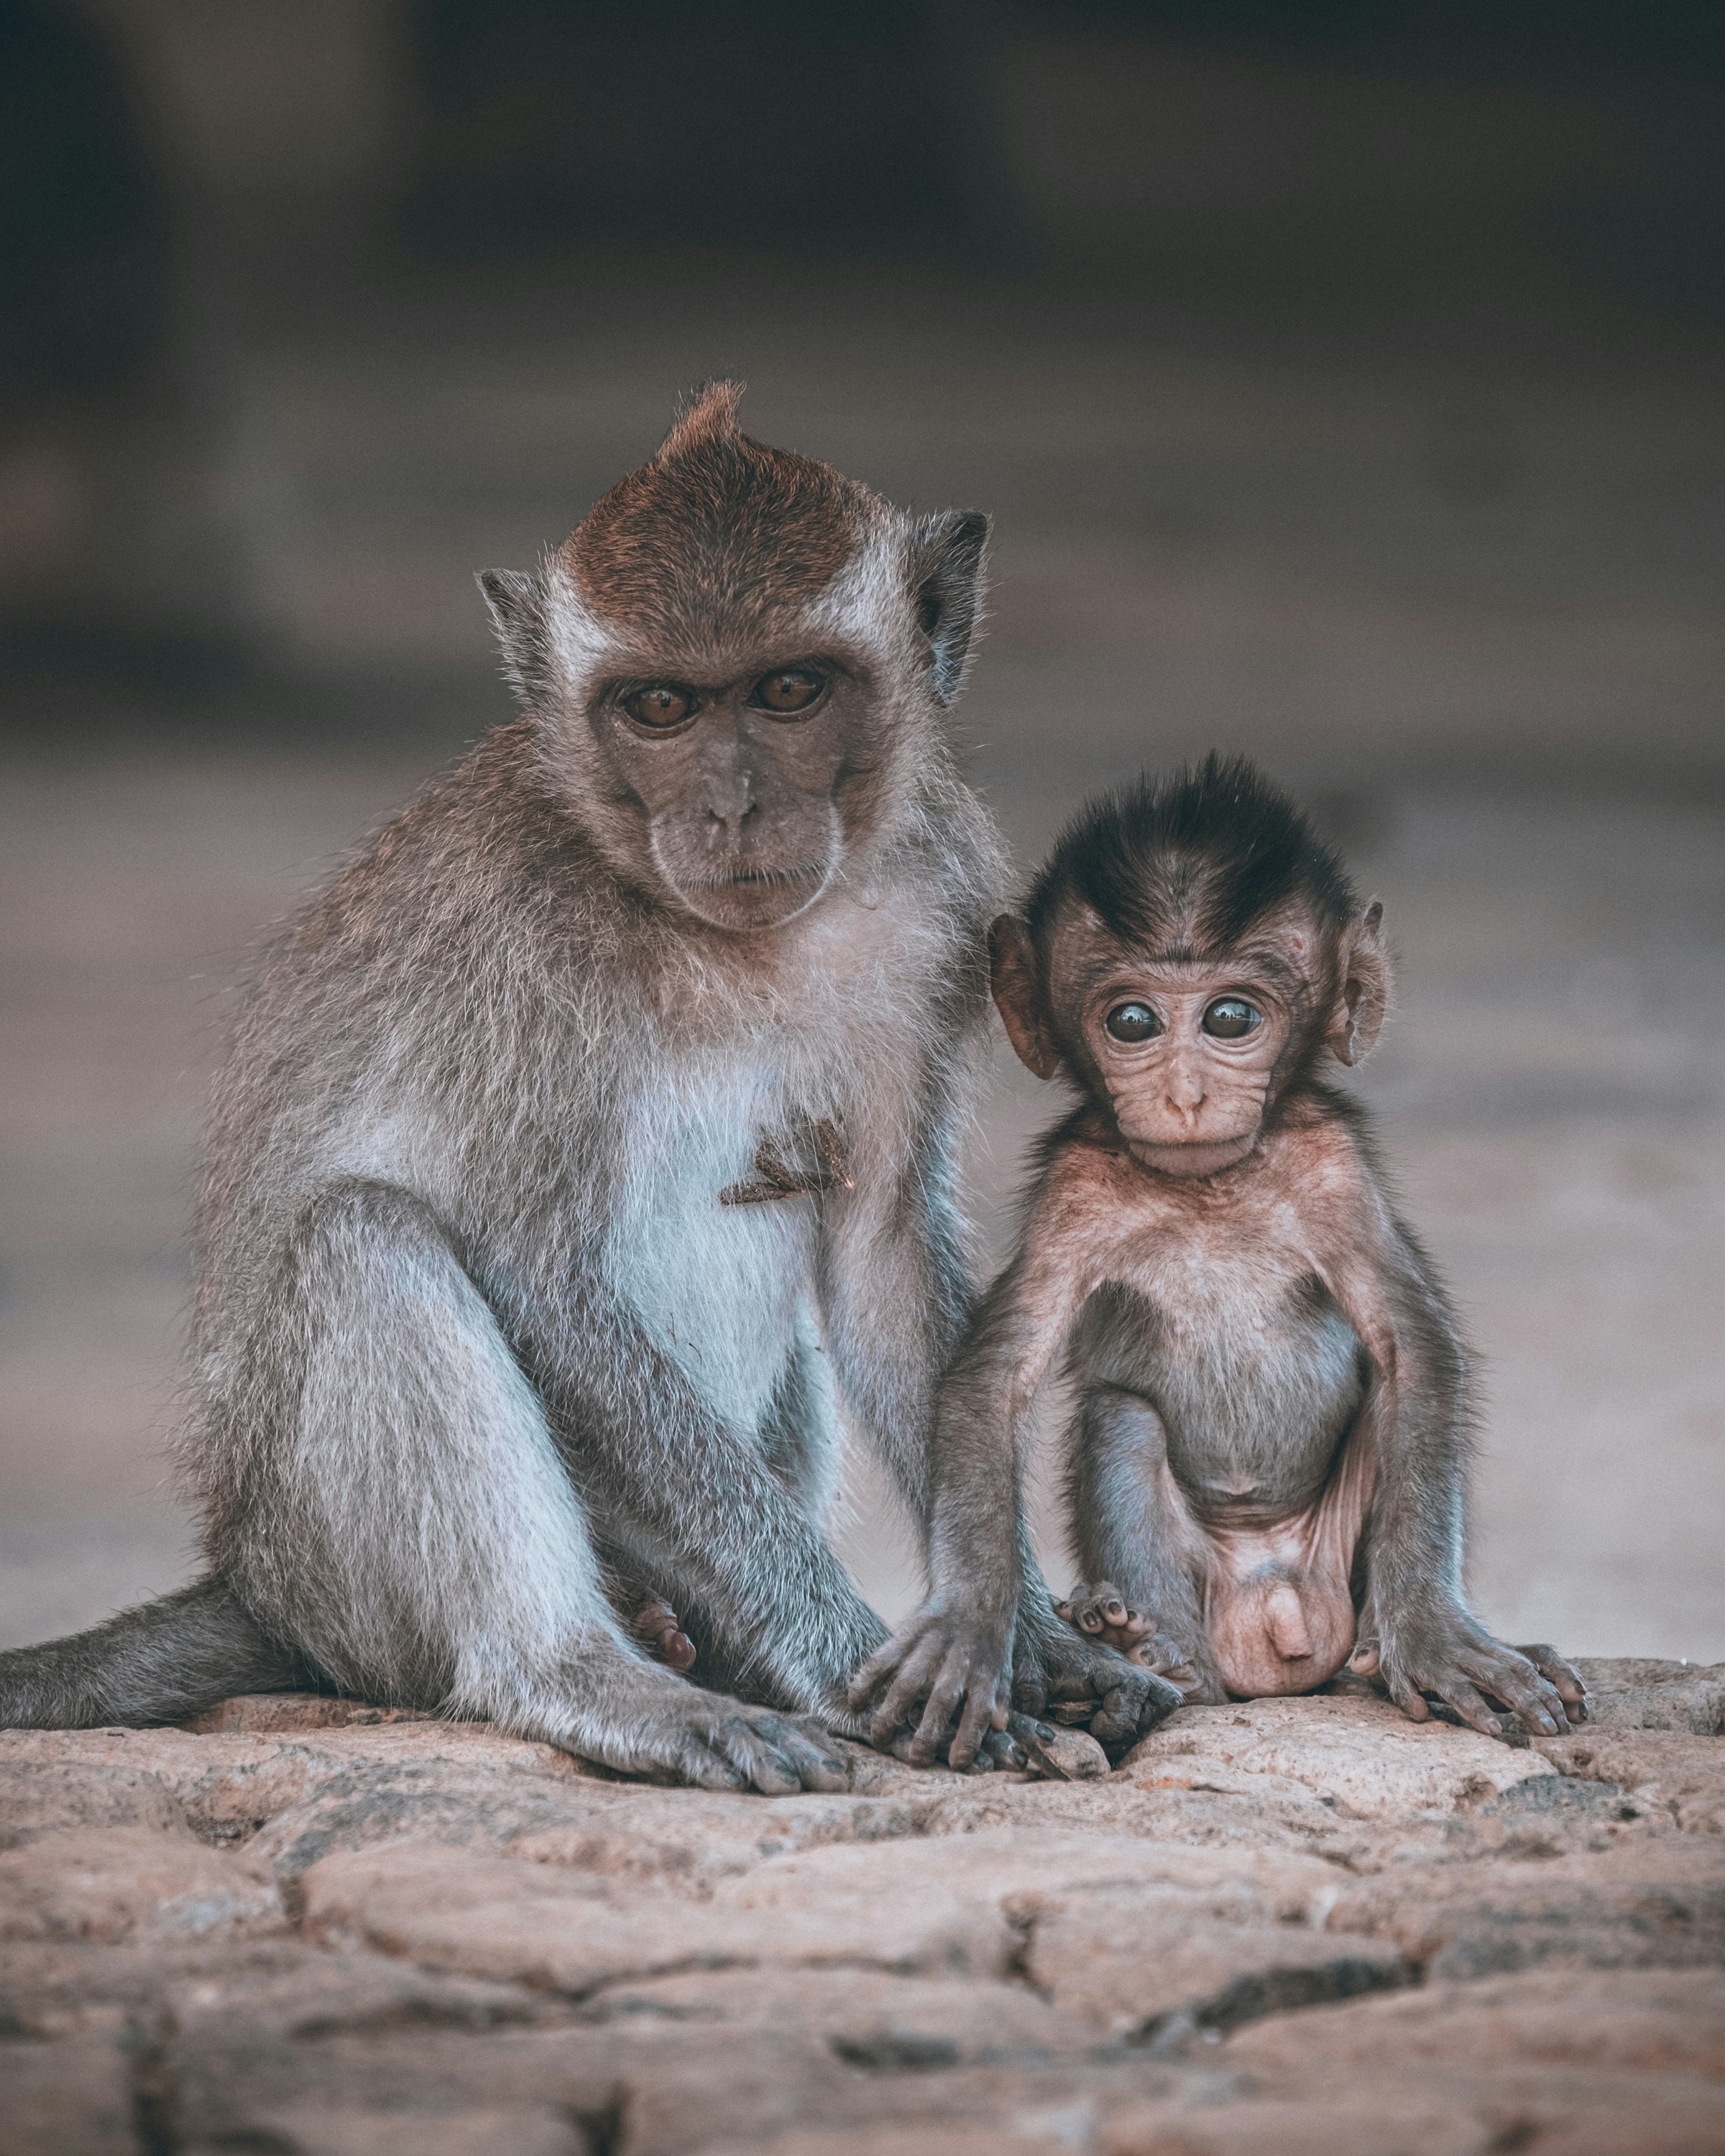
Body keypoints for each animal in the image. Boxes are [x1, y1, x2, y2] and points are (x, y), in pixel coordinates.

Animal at [0, 384, 1171, 1789]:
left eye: (789, 691)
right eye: (659, 708)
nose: (731, 810)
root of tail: (252, 1583)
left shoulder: (937, 912)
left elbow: (885, 1255)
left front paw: (1027, 1641)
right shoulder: (522, 959)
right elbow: (541, 1281)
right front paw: (851, 1655)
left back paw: (696, 1645)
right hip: (331, 1569)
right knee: (365, 1242)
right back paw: (593, 1677)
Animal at [852, 755, 1587, 1765]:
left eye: (1232, 1018)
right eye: (1131, 1022)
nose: (1186, 1093)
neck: (1208, 1188)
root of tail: (1275, 1618)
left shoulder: (1332, 1165)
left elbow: (1413, 1349)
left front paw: (1437, 1635)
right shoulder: (1075, 1187)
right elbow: (991, 1379)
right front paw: (966, 1627)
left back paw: (1373, 1654)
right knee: (1121, 1418)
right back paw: (1157, 1657)